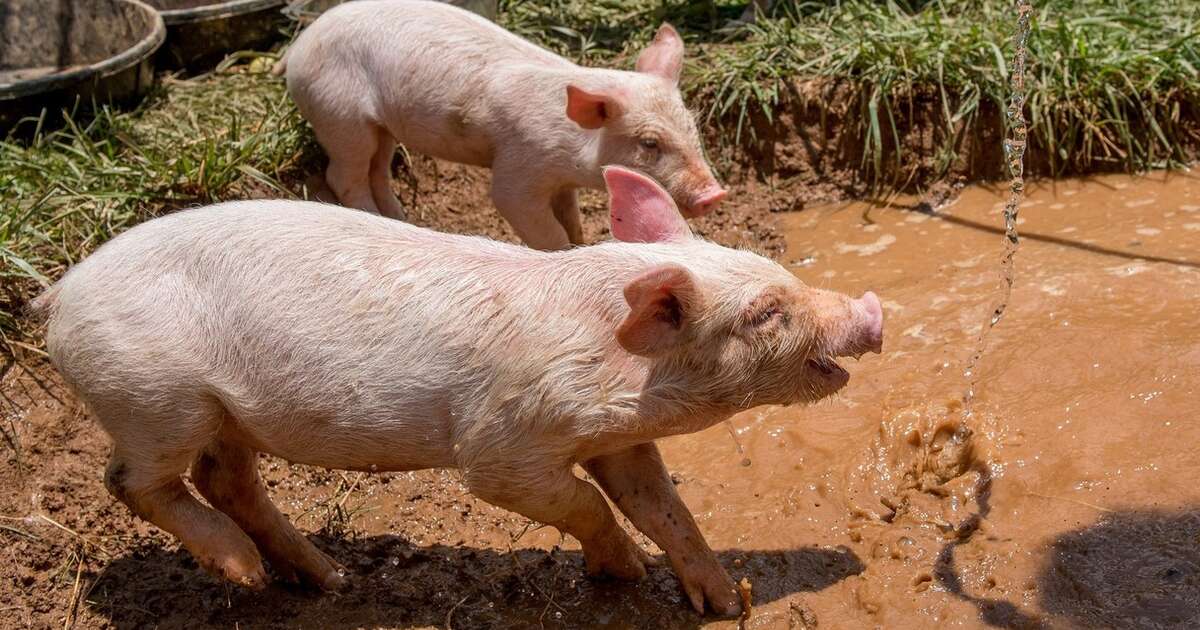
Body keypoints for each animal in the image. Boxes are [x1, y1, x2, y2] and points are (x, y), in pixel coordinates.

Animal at [34, 167, 882, 616]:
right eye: (764, 313)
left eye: (778, 274)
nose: (871, 310)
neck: (619, 367)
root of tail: (60, 295)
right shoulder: (500, 447)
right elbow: (583, 503)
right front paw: (626, 576)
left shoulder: (619, 437)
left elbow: (660, 504)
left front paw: (725, 603)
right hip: (152, 396)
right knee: (133, 481)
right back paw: (241, 571)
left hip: (222, 413)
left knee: (226, 478)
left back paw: (324, 580)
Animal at [277, 0, 726, 250]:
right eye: (649, 143)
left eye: (692, 127)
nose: (715, 194)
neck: (573, 151)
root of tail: (297, 47)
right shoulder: (520, 165)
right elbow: (531, 218)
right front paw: (567, 252)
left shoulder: (561, 183)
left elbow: (572, 219)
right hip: (339, 114)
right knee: (344, 175)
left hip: (379, 126)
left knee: (378, 169)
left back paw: (401, 219)